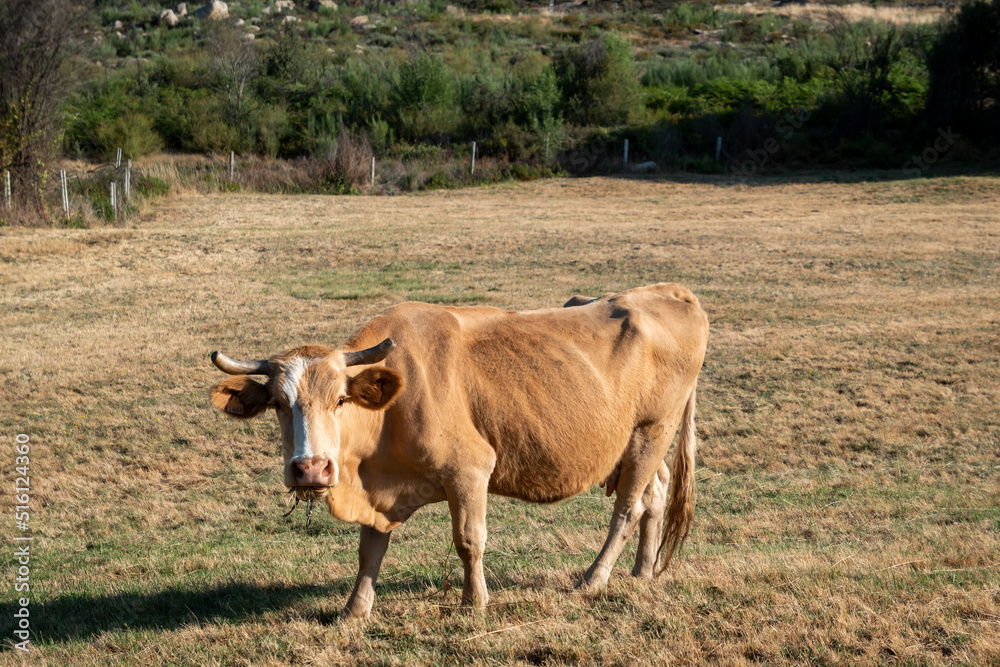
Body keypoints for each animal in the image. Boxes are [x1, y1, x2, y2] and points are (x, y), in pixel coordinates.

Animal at [209, 283, 708, 620]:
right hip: (635, 444)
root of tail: (669, 292)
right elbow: (370, 549)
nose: (311, 469)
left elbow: (469, 540)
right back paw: (642, 572)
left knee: (628, 507)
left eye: (341, 399)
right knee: (655, 495)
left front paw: (475, 602)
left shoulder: (469, 470)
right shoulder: (376, 488)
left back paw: (593, 579)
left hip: (651, 431)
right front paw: (355, 610)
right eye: (278, 404)